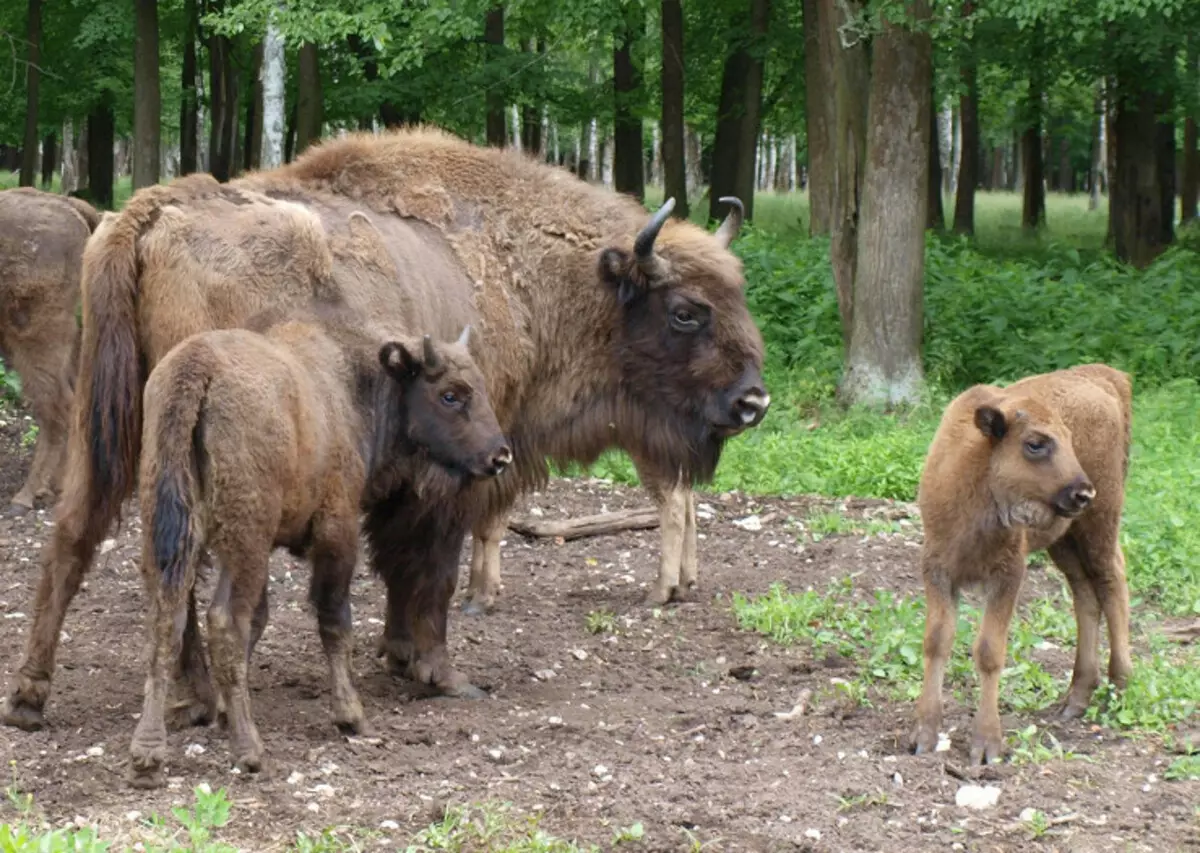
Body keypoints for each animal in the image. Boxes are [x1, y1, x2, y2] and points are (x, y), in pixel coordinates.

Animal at [127, 321, 511, 787]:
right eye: (450, 395)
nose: (499, 456)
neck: (352, 389)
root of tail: (196, 368)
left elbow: (260, 621)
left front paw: (218, 713)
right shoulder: (336, 531)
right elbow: (333, 619)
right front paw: (351, 716)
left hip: (171, 531)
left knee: (166, 621)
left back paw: (147, 756)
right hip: (244, 540)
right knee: (224, 622)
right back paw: (251, 752)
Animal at [907, 364, 1132, 763]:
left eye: (1069, 440)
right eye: (1035, 444)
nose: (1082, 493)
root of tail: (1103, 376)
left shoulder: (1008, 576)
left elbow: (989, 651)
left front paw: (987, 746)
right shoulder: (937, 570)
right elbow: (936, 641)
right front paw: (924, 735)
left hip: (1099, 523)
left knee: (1111, 582)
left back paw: (1118, 689)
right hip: (1065, 540)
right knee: (1085, 594)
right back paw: (1075, 699)